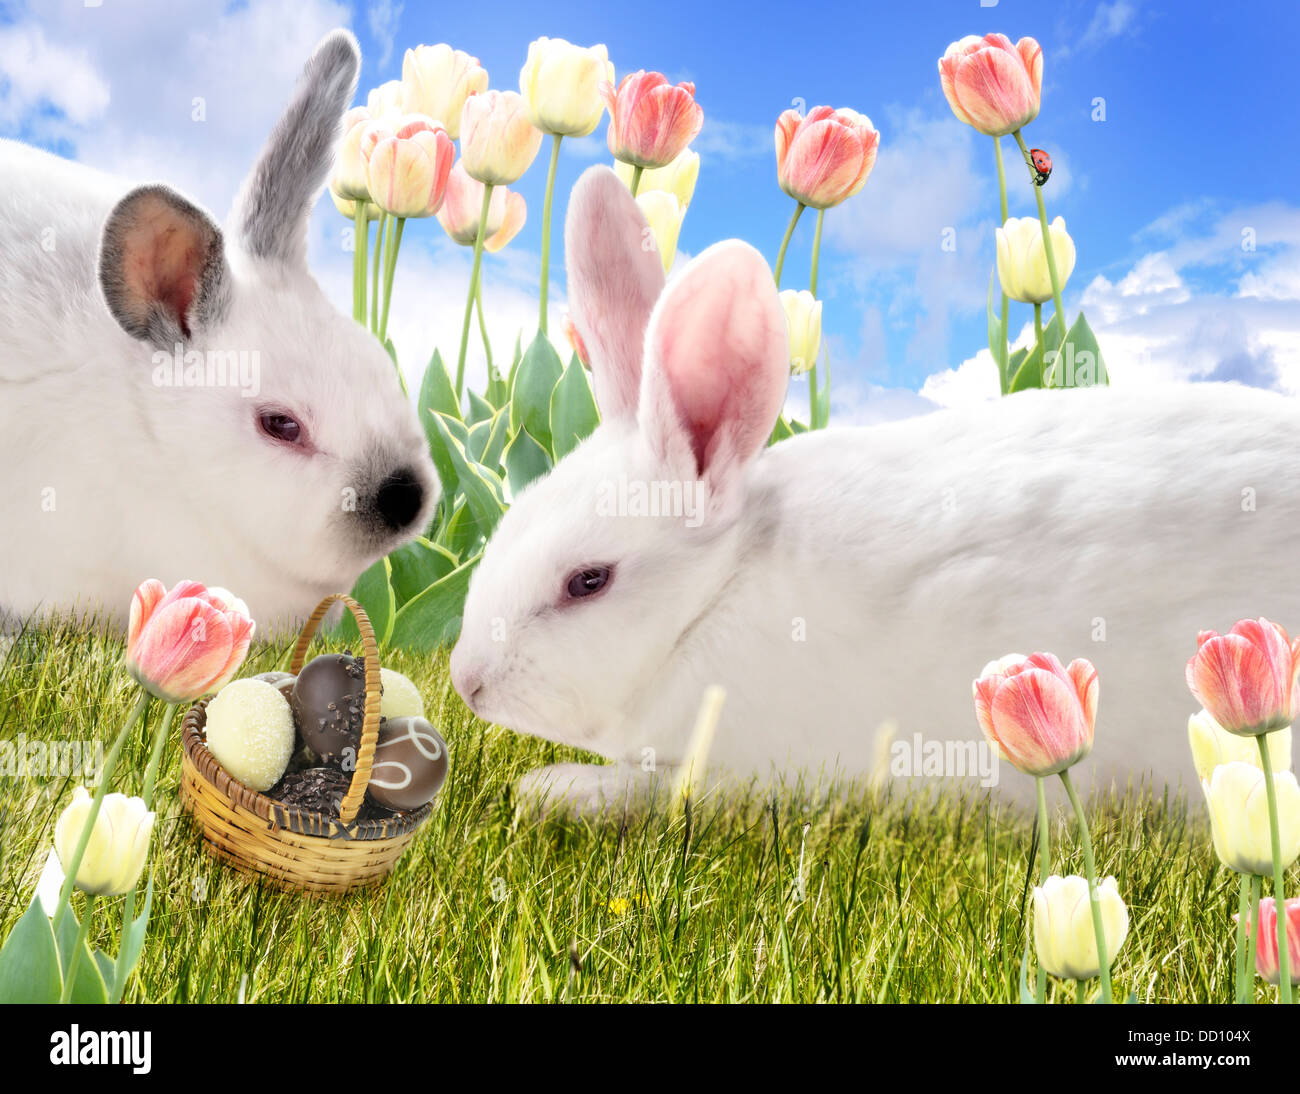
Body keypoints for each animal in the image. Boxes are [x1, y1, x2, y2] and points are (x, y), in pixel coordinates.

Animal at [449, 165, 1300, 815]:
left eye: (588, 581)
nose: (466, 682)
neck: (716, 593)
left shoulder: (738, 773)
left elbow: (653, 791)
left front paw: (551, 787)